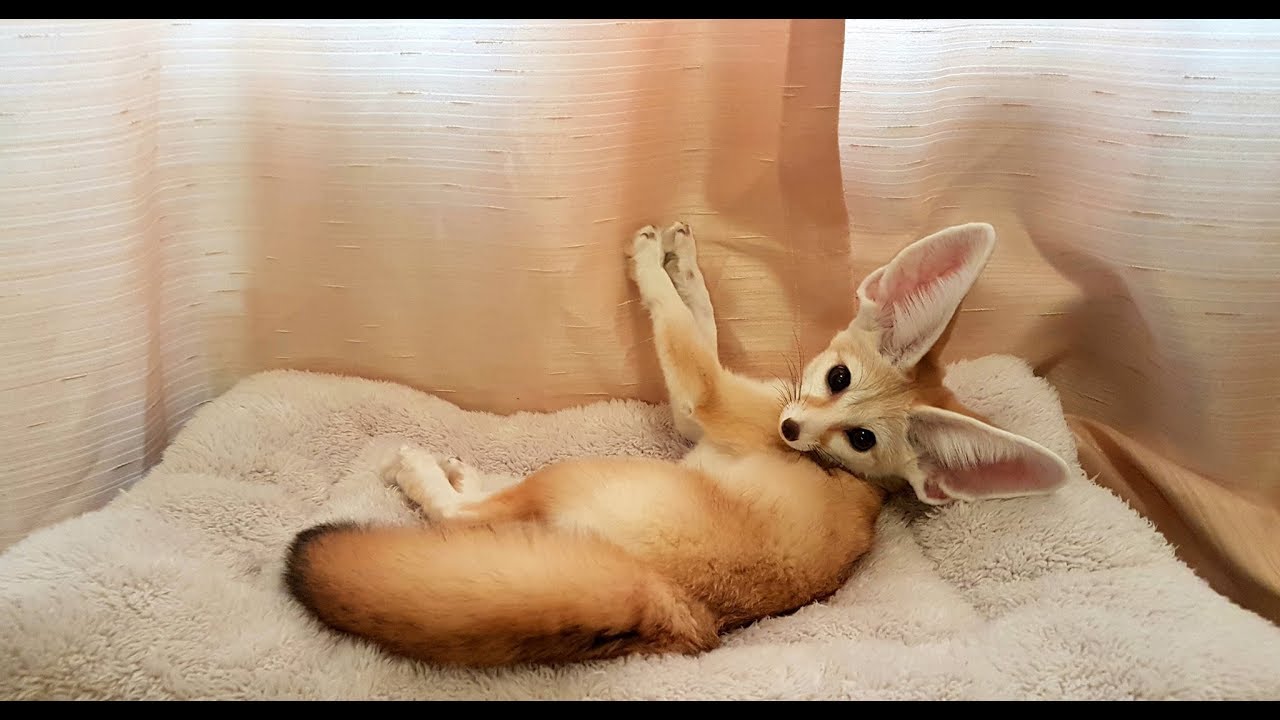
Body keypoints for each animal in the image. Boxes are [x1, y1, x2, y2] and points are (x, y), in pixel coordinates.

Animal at [283, 220, 1070, 668]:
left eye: (860, 438)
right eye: (838, 378)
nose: (790, 434)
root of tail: (678, 611)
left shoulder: (707, 396)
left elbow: (676, 327)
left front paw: (646, 266)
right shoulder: (710, 409)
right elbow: (702, 315)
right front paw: (683, 258)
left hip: (575, 475)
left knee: (468, 519)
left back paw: (429, 474)